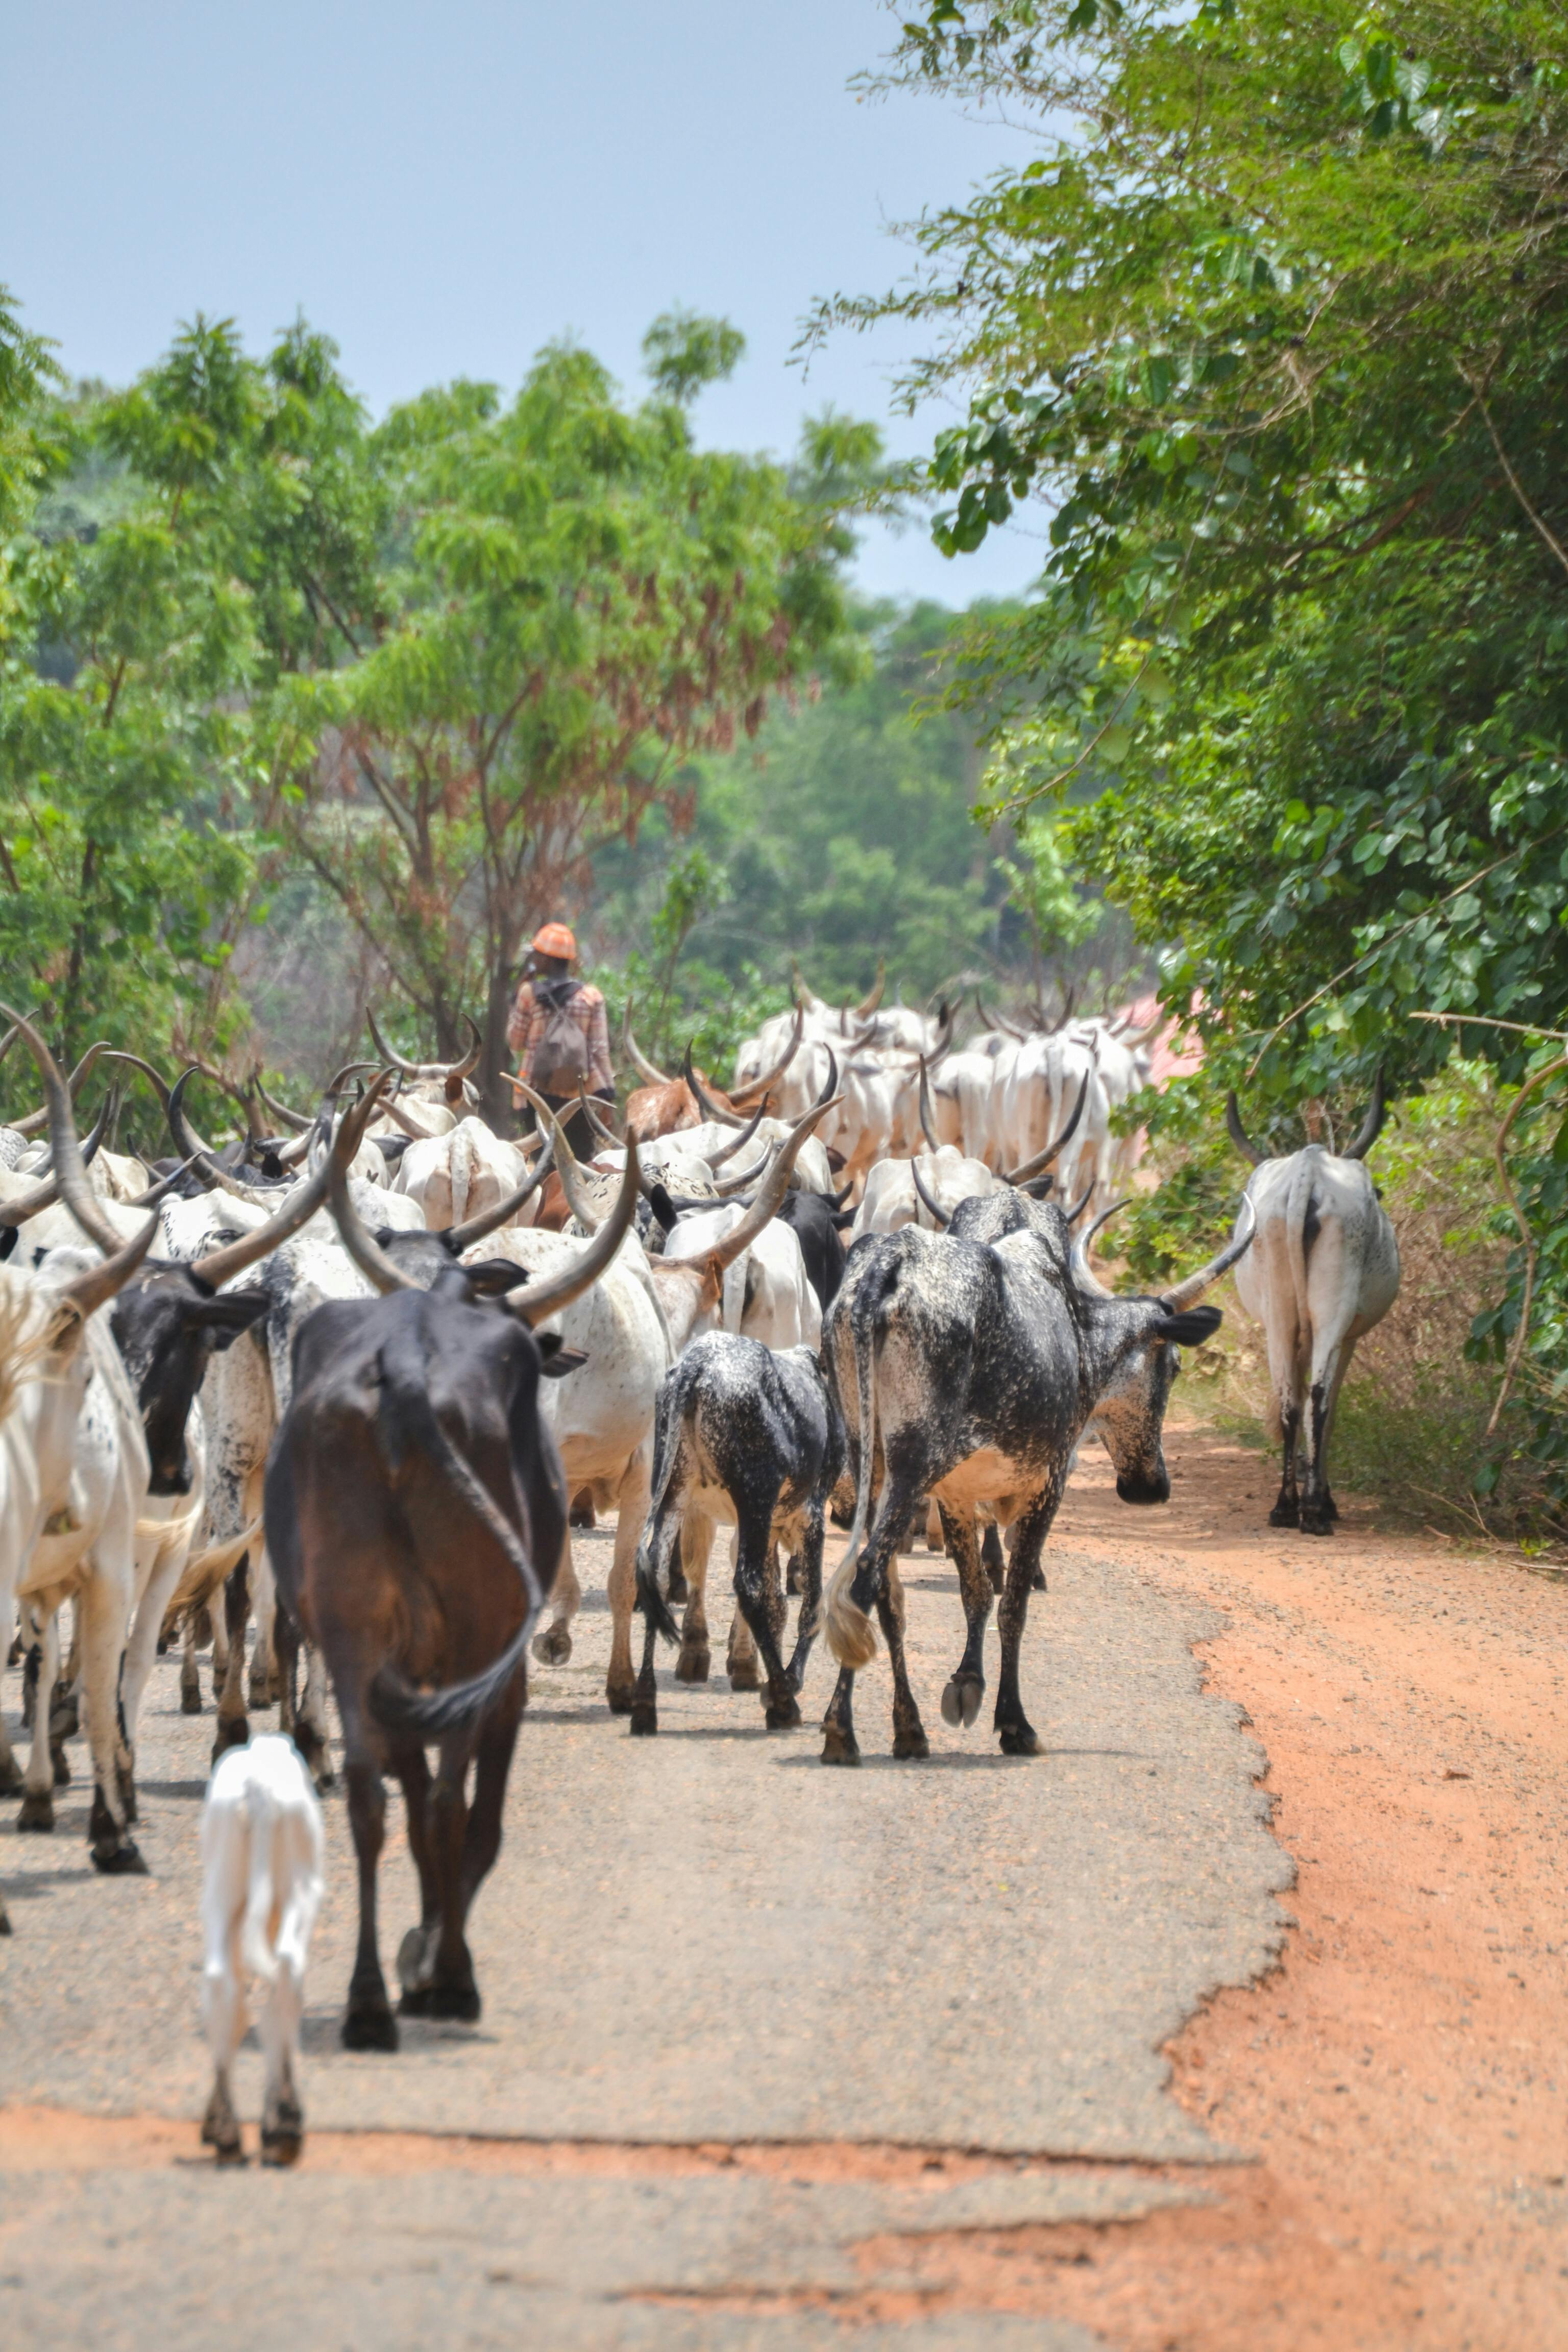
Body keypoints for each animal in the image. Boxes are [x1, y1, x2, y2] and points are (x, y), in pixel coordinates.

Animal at [199, 1734, 326, 2166]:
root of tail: (260, 1788)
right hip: (300, 1892)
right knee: (287, 1972)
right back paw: (283, 2125)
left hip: (220, 1892)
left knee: (223, 1985)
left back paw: (224, 2130)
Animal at [263, 1144, 639, 2046]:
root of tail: (405, 1374)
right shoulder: (498, 1676)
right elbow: (475, 1821)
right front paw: (437, 1959)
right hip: (480, 1642)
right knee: (445, 1799)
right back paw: (441, 1980)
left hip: (359, 1637)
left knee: (371, 1797)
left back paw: (369, 2003)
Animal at [631, 1332, 844, 1736]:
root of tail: (695, 1364)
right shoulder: (810, 1516)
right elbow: (810, 1604)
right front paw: (788, 1681)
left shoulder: (772, 1525)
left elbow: (777, 1605)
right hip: (754, 1496)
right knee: (747, 1583)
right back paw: (783, 1704)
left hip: (674, 1492)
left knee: (658, 1575)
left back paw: (645, 1705)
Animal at [817, 1197, 1255, 1764]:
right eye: (1173, 1366)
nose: (1150, 1487)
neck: (1077, 1331)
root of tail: (890, 1262)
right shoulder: (1046, 1486)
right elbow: (1014, 1606)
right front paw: (1013, 1723)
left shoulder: (956, 1496)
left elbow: (978, 1594)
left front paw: (967, 1684)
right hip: (914, 1464)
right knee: (868, 1576)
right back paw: (841, 1731)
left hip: (869, 1460)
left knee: (887, 1593)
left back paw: (909, 1730)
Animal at [1226, 1078, 1400, 1534]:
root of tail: (1309, 1171)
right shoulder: (1350, 1337)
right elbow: (1331, 1408)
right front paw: (1324, 1496)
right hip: (1331, 1318)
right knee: (1319, 1402)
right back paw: (1315, 1512)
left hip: (1279, 1319)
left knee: (1290, 1399)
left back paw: (1286, 1507)